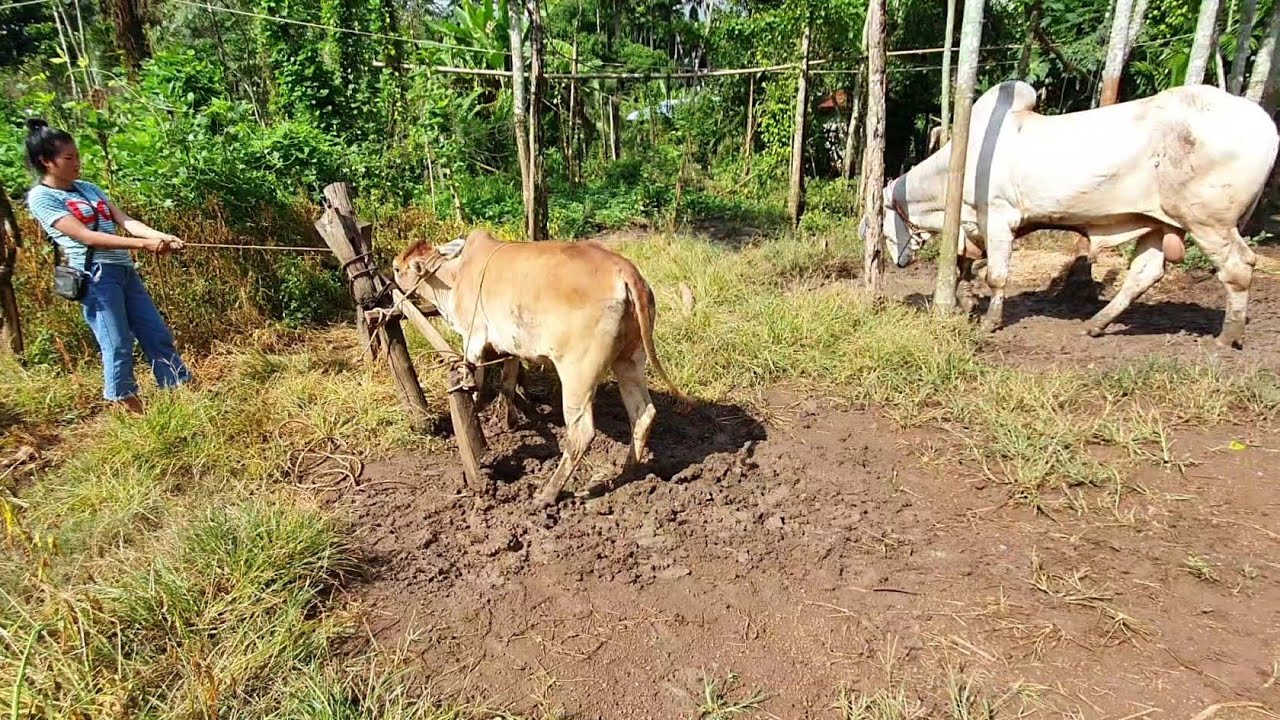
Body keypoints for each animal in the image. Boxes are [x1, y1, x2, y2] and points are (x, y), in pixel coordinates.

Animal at [393, 229, 690, 508]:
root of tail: (624, 269)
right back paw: (626, 471)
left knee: (581, 433)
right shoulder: (510, 346)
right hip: (629, 359)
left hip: (577, 373)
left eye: (397, 268)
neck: (455, 276)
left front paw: (475, 408)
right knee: (643, 413)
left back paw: (547, 494)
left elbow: (473, 379)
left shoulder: (472, 336)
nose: (392, 279)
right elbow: (507, 383)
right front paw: (509, 421)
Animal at [864, 80, 1279, 349]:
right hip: (1159, 222)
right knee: (1143, 274)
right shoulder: (973, 226)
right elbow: (967, 267)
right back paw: (1097, 324)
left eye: (879, 223)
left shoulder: (997, 216)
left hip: (1208, 220)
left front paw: (989, 321)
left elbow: (996, 275)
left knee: (1238, 267)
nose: (898, 261)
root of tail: (1265, 124)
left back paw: (1229, 335)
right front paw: (966, 303)